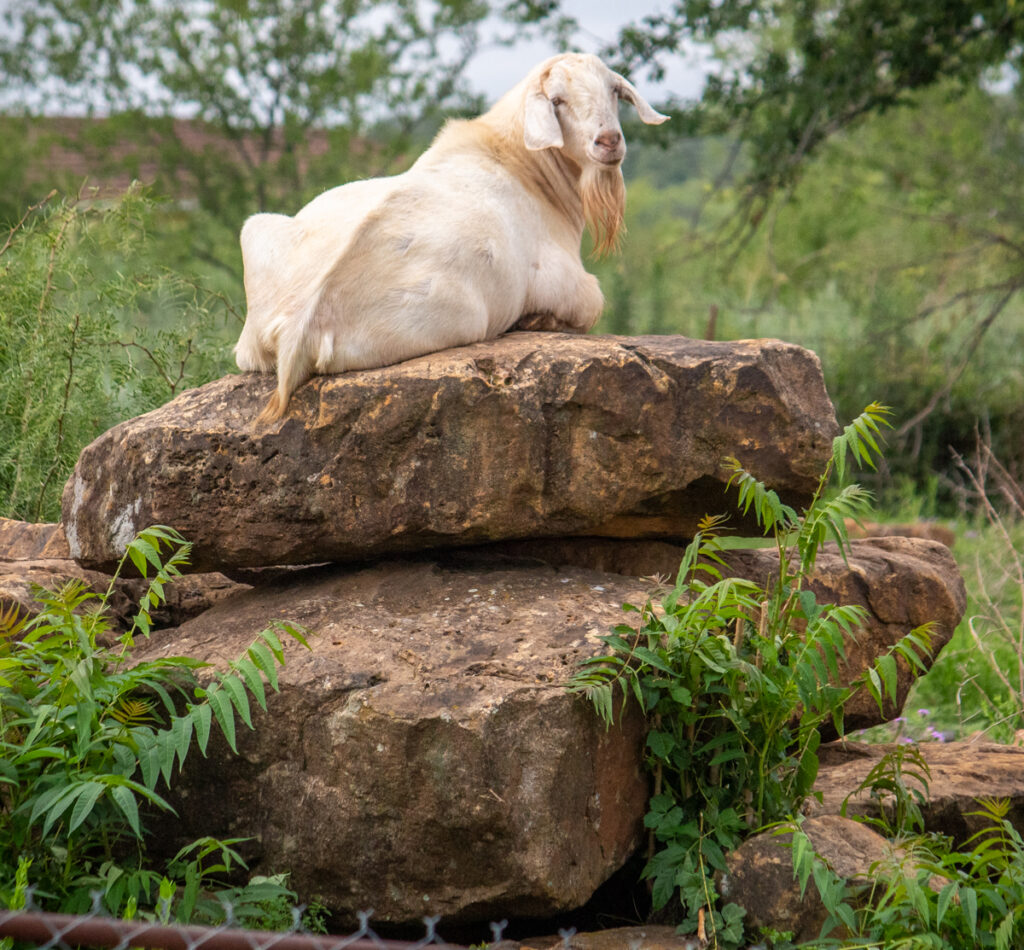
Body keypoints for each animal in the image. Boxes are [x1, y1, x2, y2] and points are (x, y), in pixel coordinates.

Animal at [235, 53, 669, 422]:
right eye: (558, 100)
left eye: (613, 91)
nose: (608, 141)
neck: (520, 164)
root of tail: (300, 323)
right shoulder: (566, 283)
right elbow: (593, 302)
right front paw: (537, 319)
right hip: (461, 317)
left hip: (254, 237)